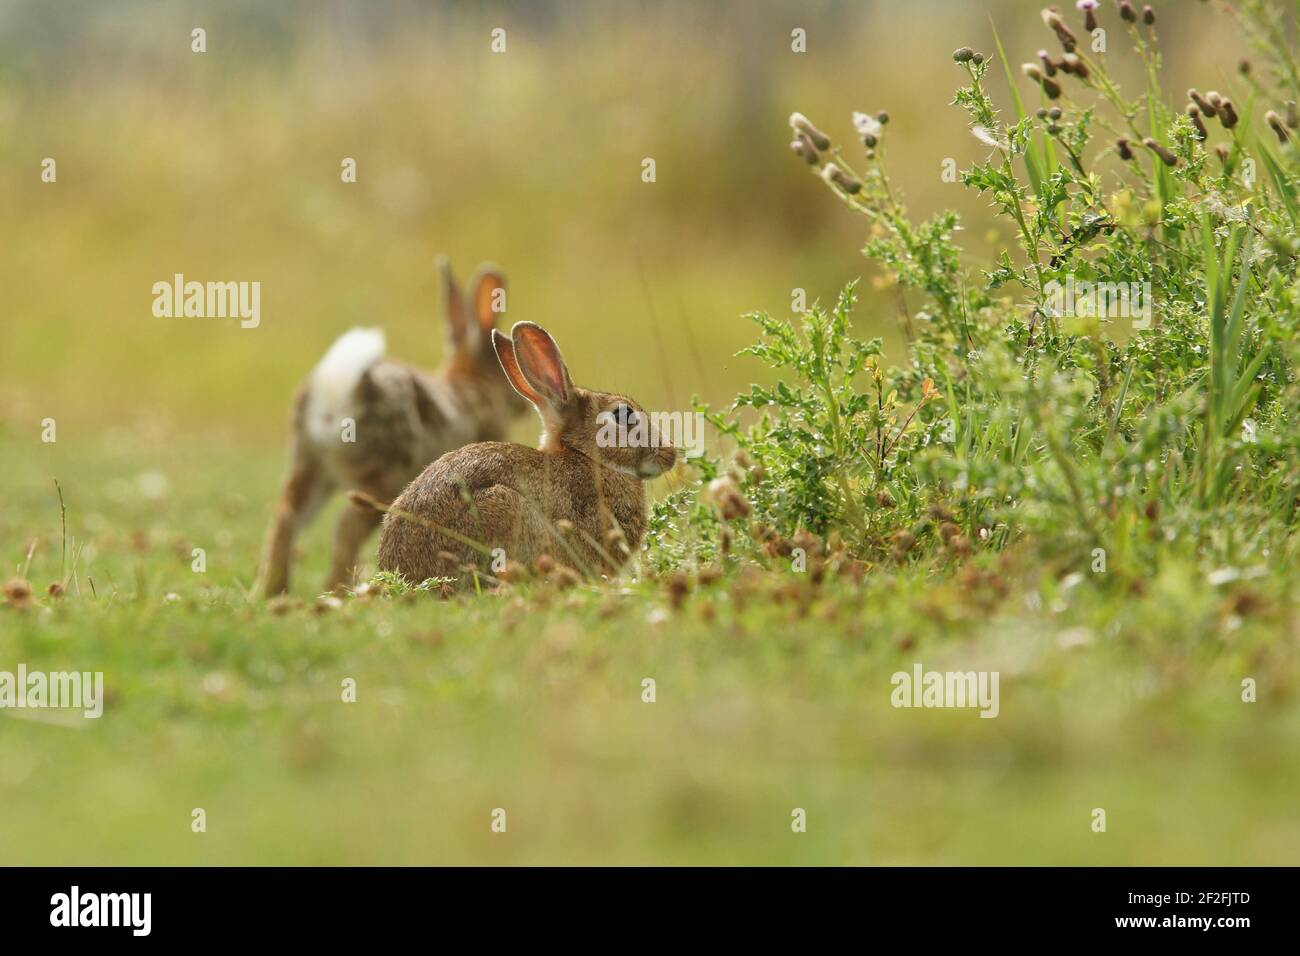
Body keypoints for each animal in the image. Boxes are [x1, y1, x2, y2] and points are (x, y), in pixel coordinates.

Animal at [256, 258, 529, 596]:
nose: (523, 406)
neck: (473, 381)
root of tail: (338, 396)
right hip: (382, 478)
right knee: (346, 525)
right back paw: (340, 589)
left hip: (309, 467)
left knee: (286, 516)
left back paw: (271, 590)